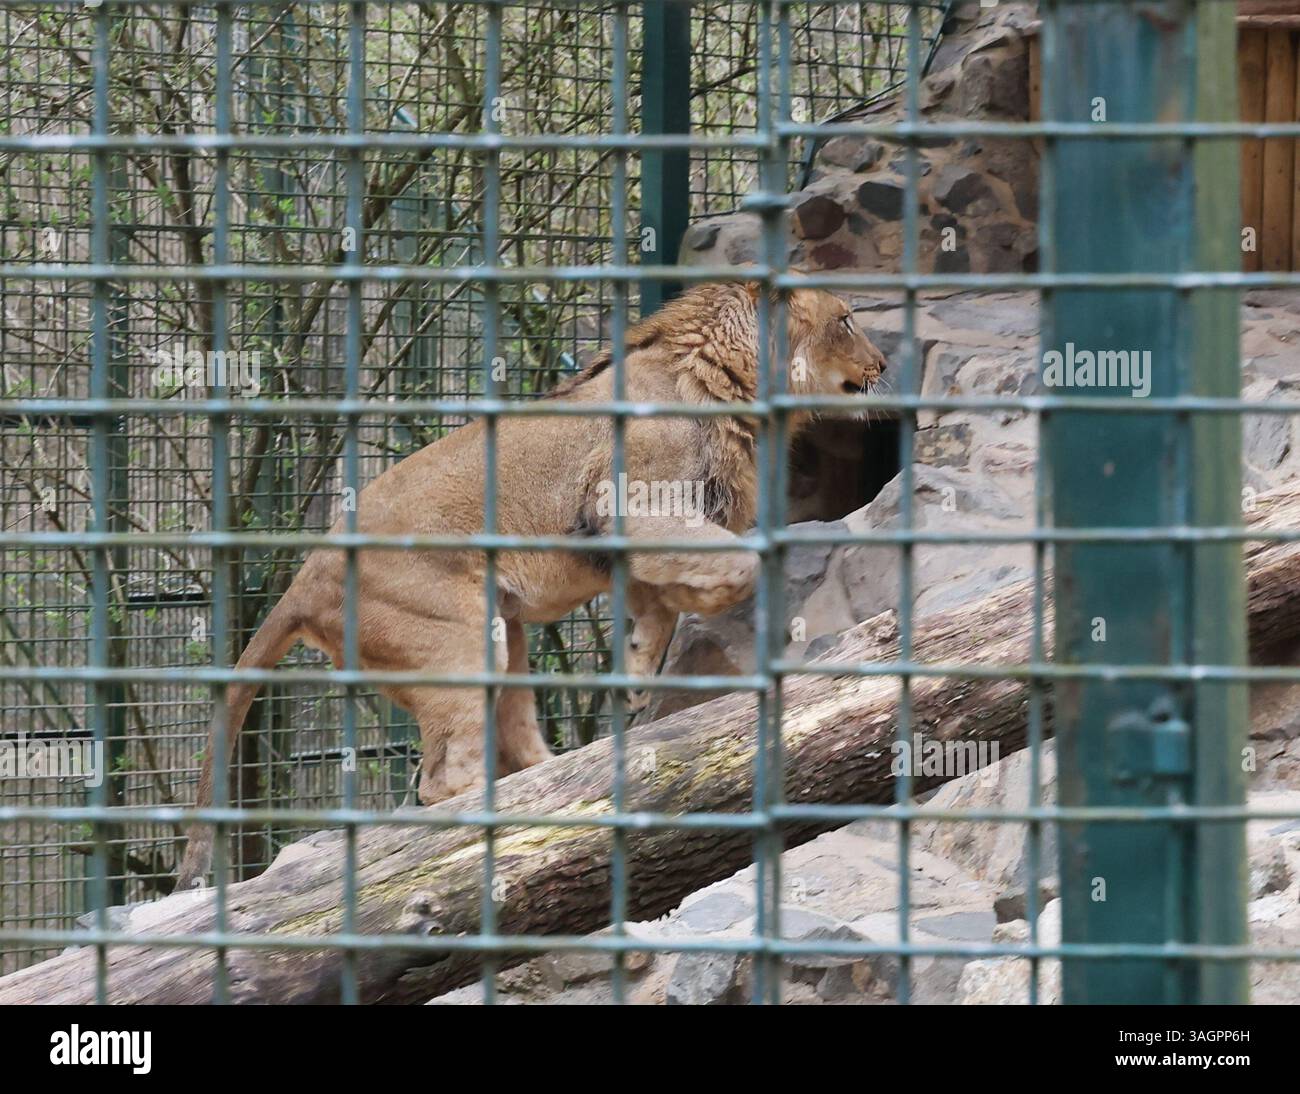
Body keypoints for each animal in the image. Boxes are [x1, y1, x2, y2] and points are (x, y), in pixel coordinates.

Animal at [176, 282, 887, 889]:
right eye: (847, 319)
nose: (882, 364)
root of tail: (306, 577)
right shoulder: (631, 505)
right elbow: (737, 565)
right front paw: (704, 603)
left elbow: (656, 610)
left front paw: (638, 669)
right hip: (463, 639)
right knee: (440, 783)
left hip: (506, 632)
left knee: (514, 738)